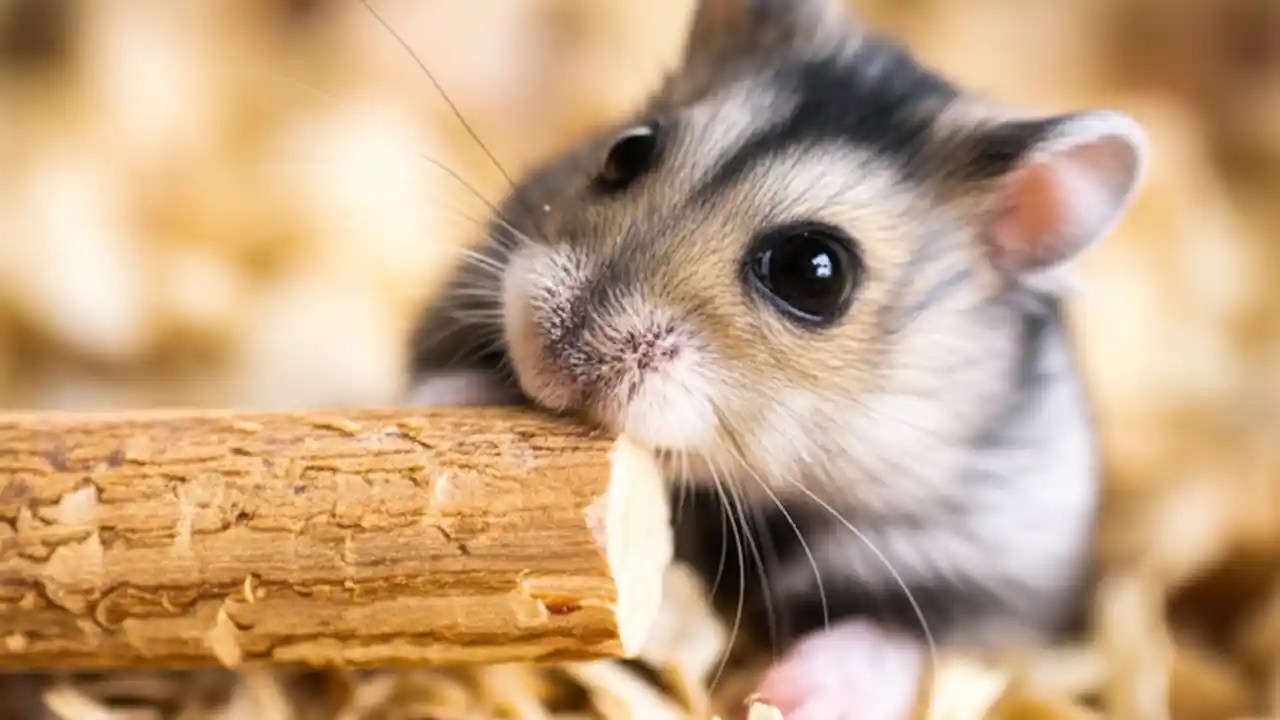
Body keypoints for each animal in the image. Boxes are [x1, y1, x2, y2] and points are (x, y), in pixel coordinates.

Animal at [408, 0, 1147, 715]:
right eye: (627, 151)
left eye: (813, 272)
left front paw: (785, 697)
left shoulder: (991, 565)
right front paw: (450, 410)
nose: (556, 359)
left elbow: (901, 634)